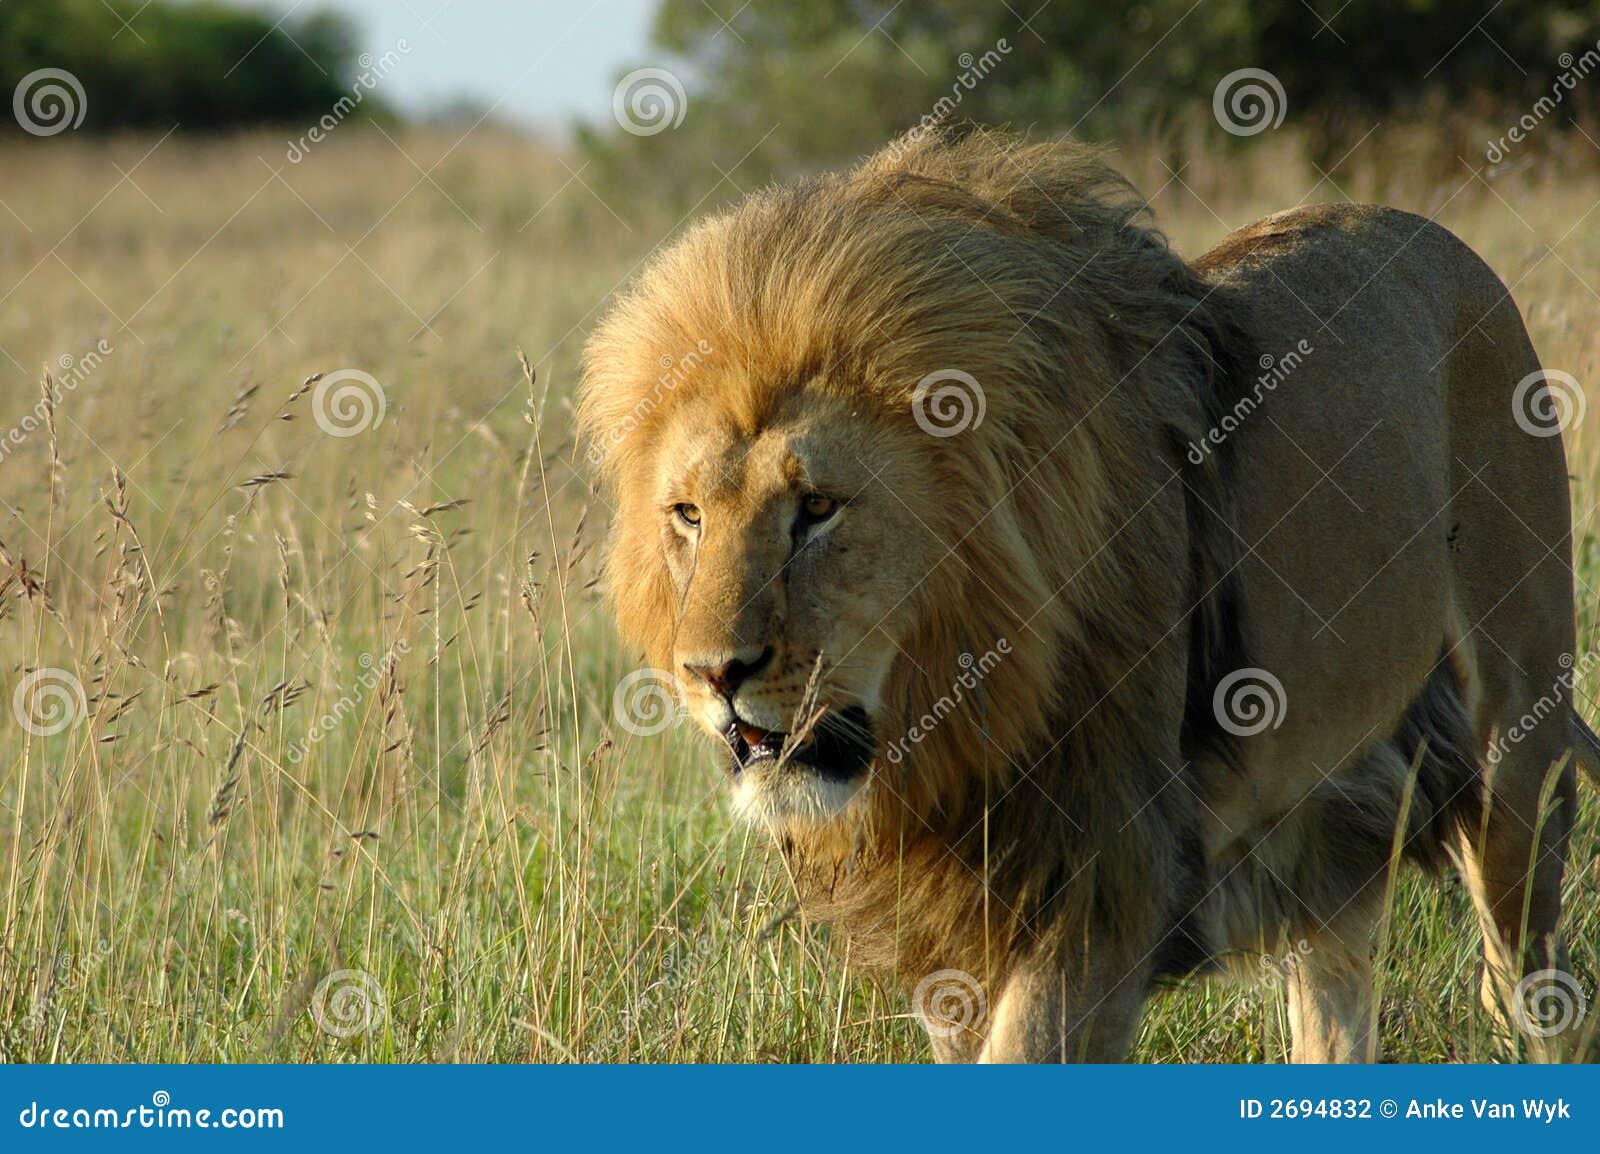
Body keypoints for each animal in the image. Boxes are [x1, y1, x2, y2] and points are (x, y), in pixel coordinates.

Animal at [579, 131, 1596, 1062]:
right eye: (688, 515)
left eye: (818, 509)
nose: (714, 674)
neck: (958, 721)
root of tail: (1449, 243)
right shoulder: (957, 924)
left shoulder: (1104, 886)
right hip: (1334, 826)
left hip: (1514, 767)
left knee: (1535, 997)